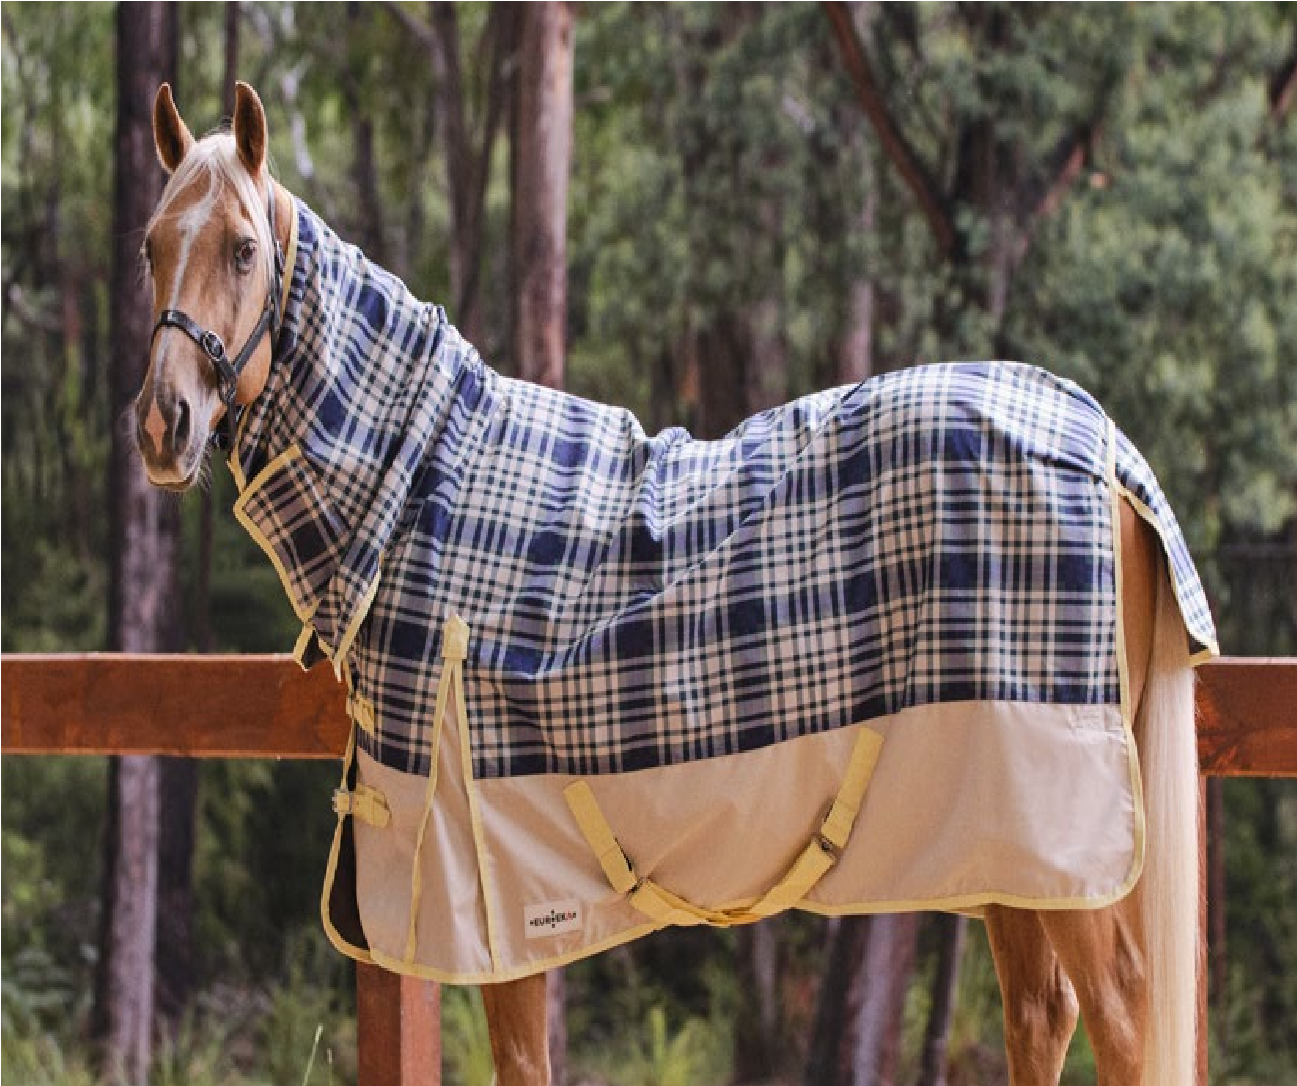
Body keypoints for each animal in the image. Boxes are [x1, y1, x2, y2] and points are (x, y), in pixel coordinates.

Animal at [134, 82, 1213, 1086]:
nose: (163, 424)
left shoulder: (498, 908)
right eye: (150, 247)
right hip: (1007, 843)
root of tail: (1098, 441)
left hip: (1056, 834)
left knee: (1118, 1014)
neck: (422, 482)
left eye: (242, 249)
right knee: (1041, 1012)